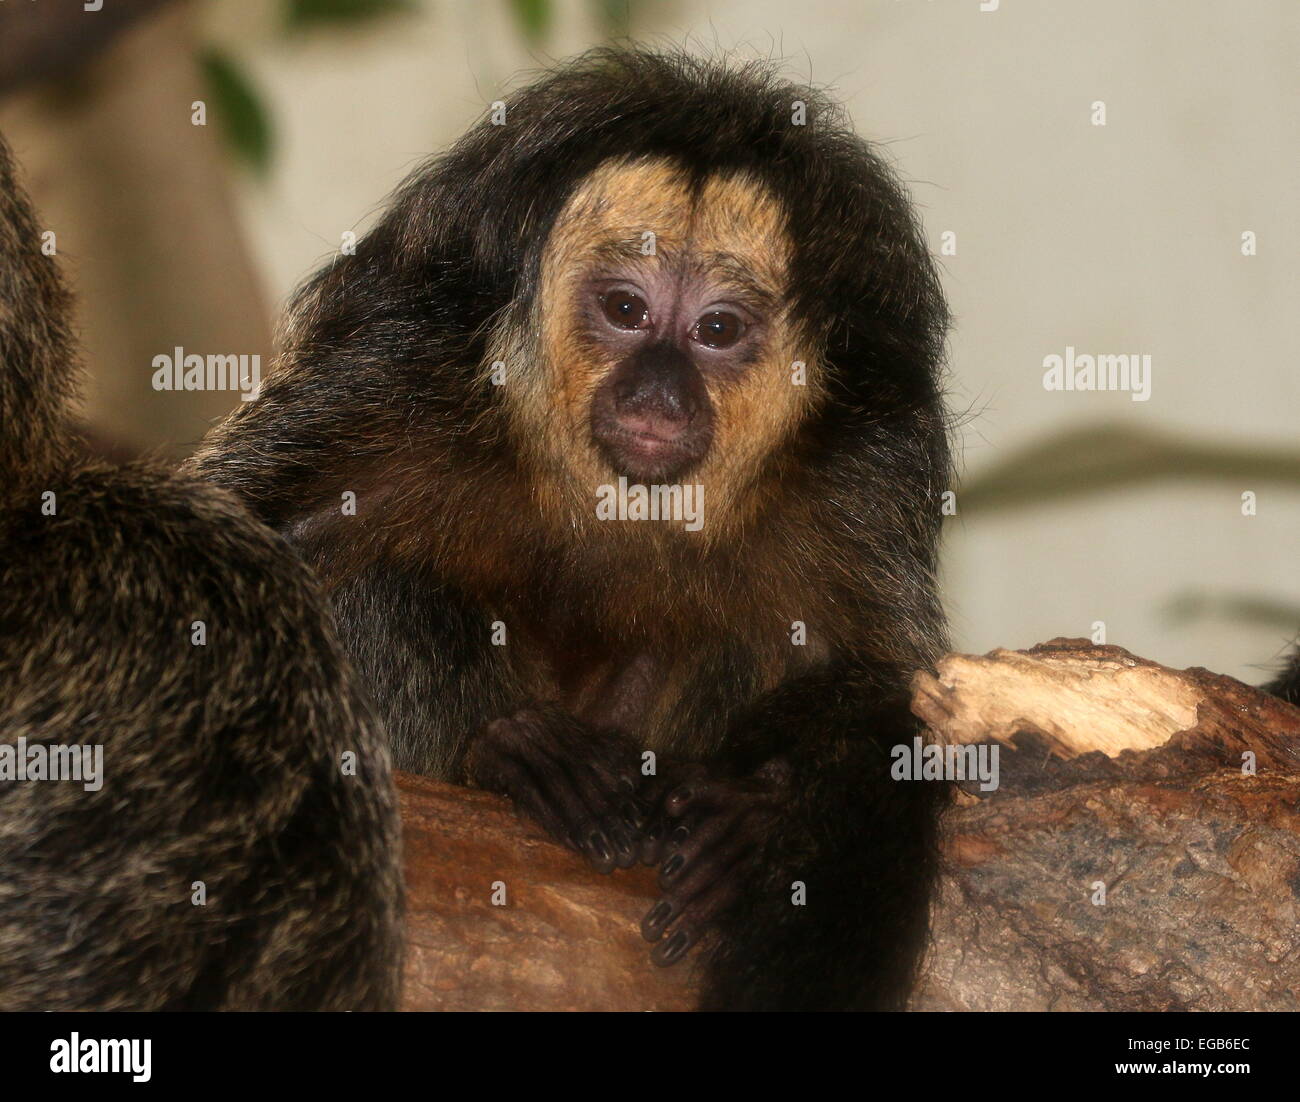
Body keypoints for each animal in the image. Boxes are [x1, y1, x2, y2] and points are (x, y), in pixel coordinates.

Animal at [189, 48, 953, 1012]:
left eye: (717, 329)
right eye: (626, 310)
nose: (657, 393)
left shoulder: (865, 482)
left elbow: (888, 692)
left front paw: (760, 801)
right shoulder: (389, 379)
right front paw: (502, 741)